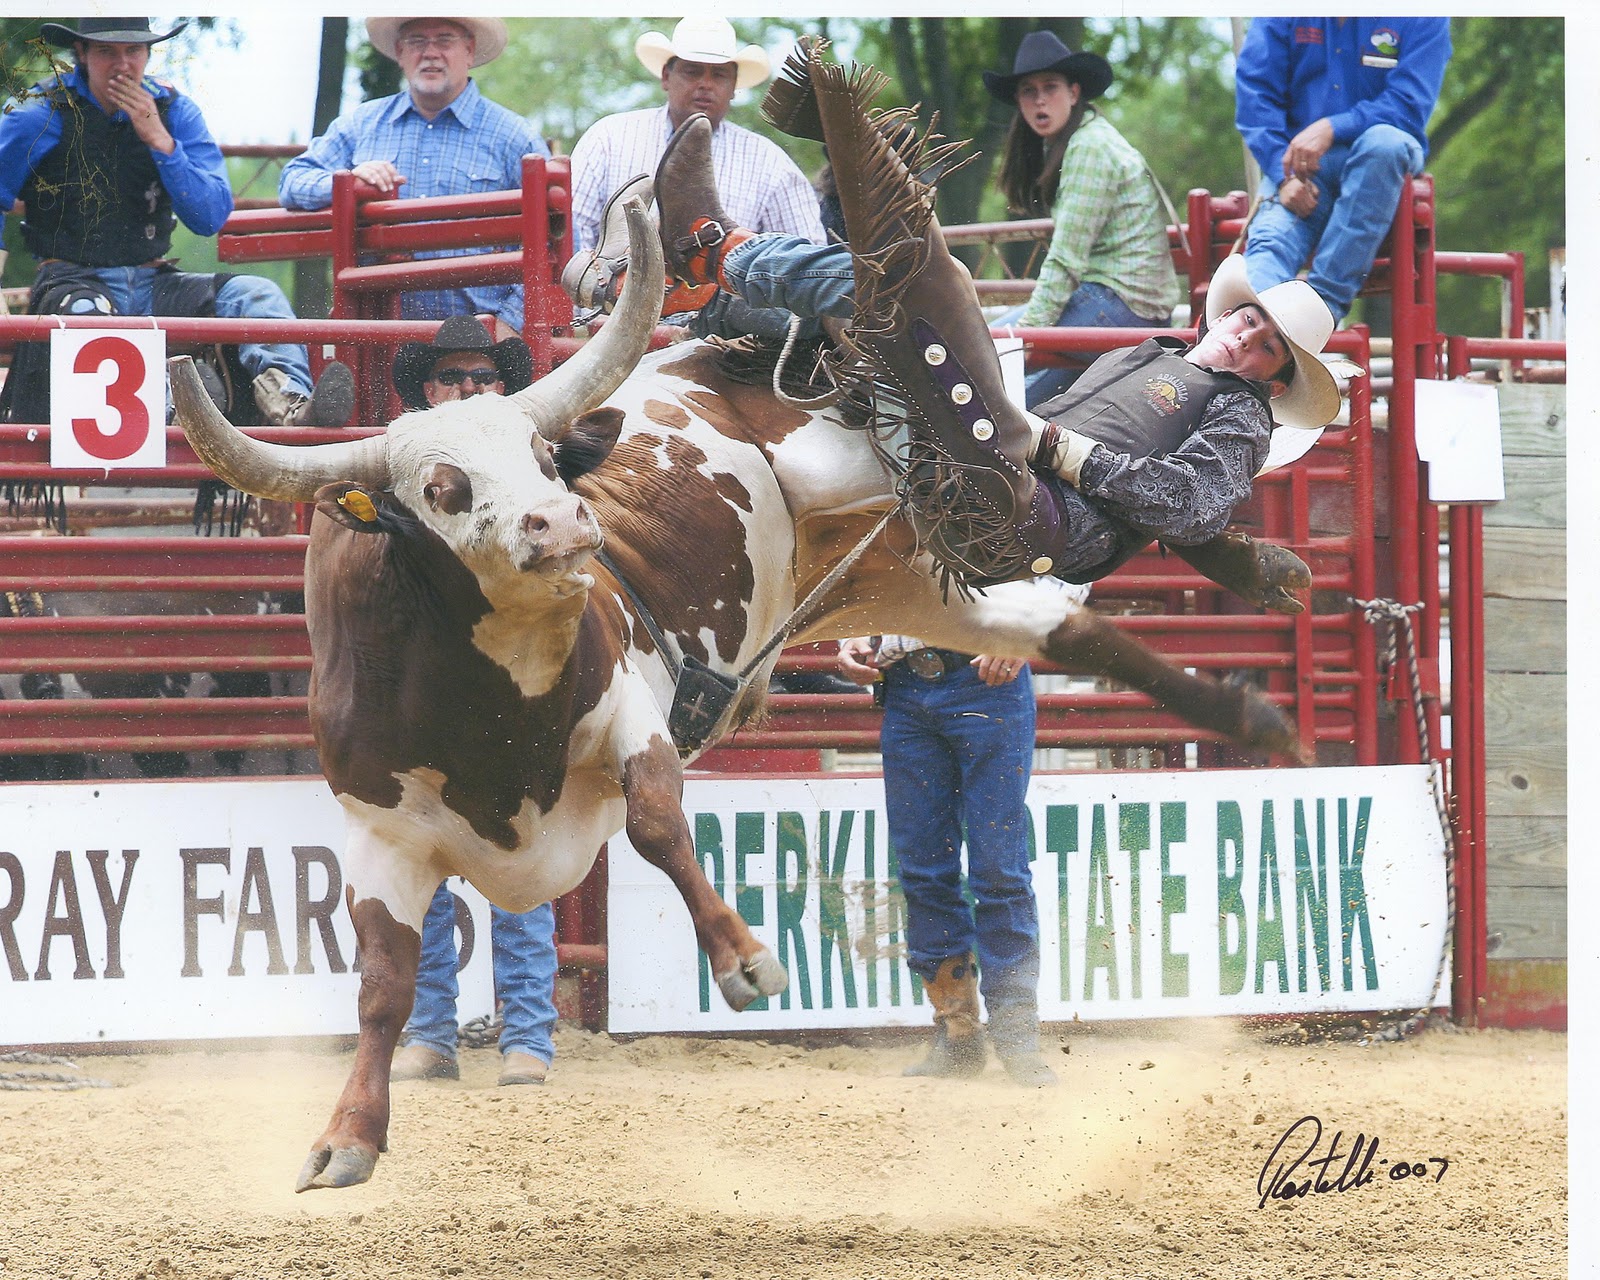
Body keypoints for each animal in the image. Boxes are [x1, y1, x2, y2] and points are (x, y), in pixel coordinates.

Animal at [169, 200, 1302, 1193]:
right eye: (442, 489)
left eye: (540, 454)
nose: (561, 525)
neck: (489, 704)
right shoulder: (384, 834)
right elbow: (383, 985)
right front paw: (345, 1140)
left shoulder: (630, 711)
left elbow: (659, 823)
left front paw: (745, 959)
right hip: (908, 574)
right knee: (1057, 616)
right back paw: (1253, 658)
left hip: (882, 479)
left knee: (1019, 467)